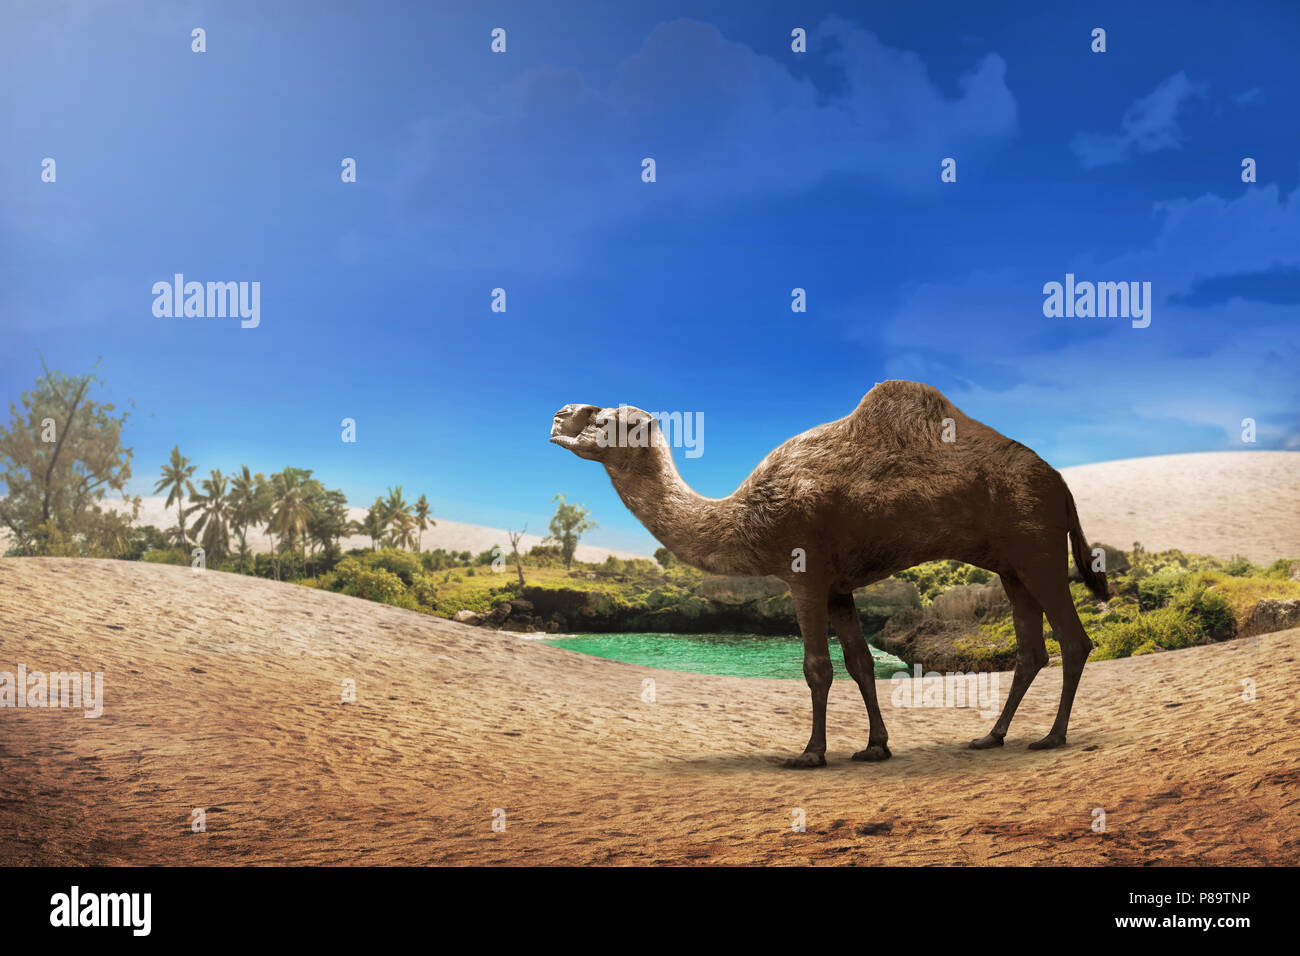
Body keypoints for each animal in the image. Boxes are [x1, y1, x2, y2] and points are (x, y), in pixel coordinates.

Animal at [550, 380, 1109, 766]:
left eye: (602, 415)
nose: (558, 415)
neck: (748, 516)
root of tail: (1061, 483)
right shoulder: (840, 587)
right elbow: (860, 664)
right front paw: (875, 746)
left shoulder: (806, 574)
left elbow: (817, 667)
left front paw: (810, 753)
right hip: (1014, 565)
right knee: (1032, 649)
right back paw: (990, 736)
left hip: (1037, 547)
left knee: (1074, 640)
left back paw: (1052, 737)